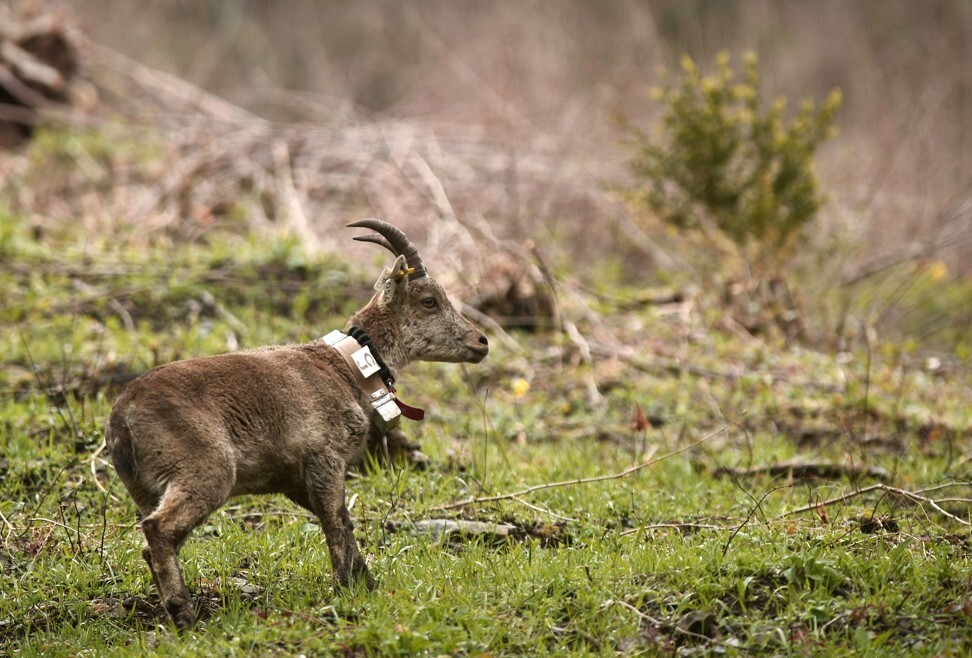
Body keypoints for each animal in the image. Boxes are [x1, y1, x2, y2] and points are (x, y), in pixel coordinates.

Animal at [105, 219, 488, 629]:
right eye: (429, 300)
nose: (481, 342)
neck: (348, 367)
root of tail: (121, 420)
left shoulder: (293, 479)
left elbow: (343, 520)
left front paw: (366, 582)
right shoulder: (323, 458)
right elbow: (335, 521)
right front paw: (345, 588)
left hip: (145, 489)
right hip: (203, 468)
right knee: (158, 529)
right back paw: (184, 612)